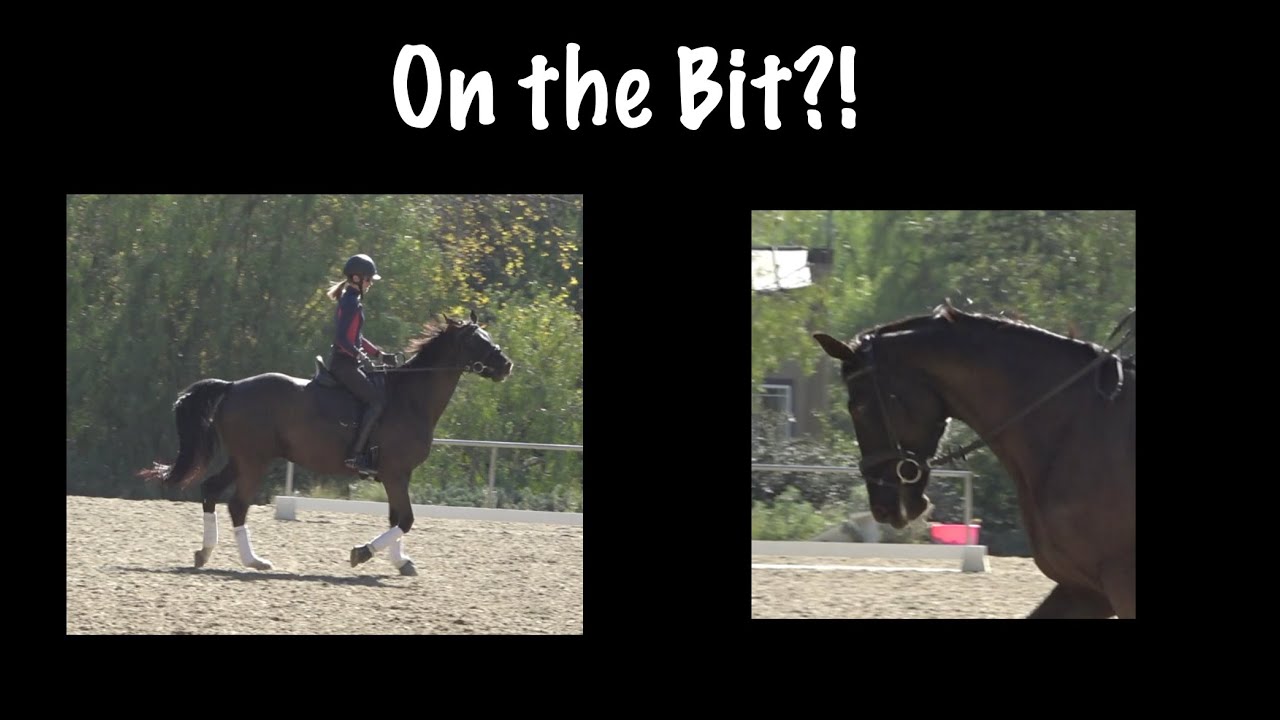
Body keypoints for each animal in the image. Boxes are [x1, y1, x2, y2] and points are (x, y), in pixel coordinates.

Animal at [138, 310, 513, 576]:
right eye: (477, 341)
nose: (506, 365)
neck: (409, 398)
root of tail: (232, 387)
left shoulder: (397, 476)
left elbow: (396, 518)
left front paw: (401, 562)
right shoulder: (395, 473)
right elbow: (404, 519)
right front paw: (362, 553)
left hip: (242, 459)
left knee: (211, 490)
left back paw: (206, 552)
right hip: (254, 462)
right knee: (237, 505)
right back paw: (254, 561)